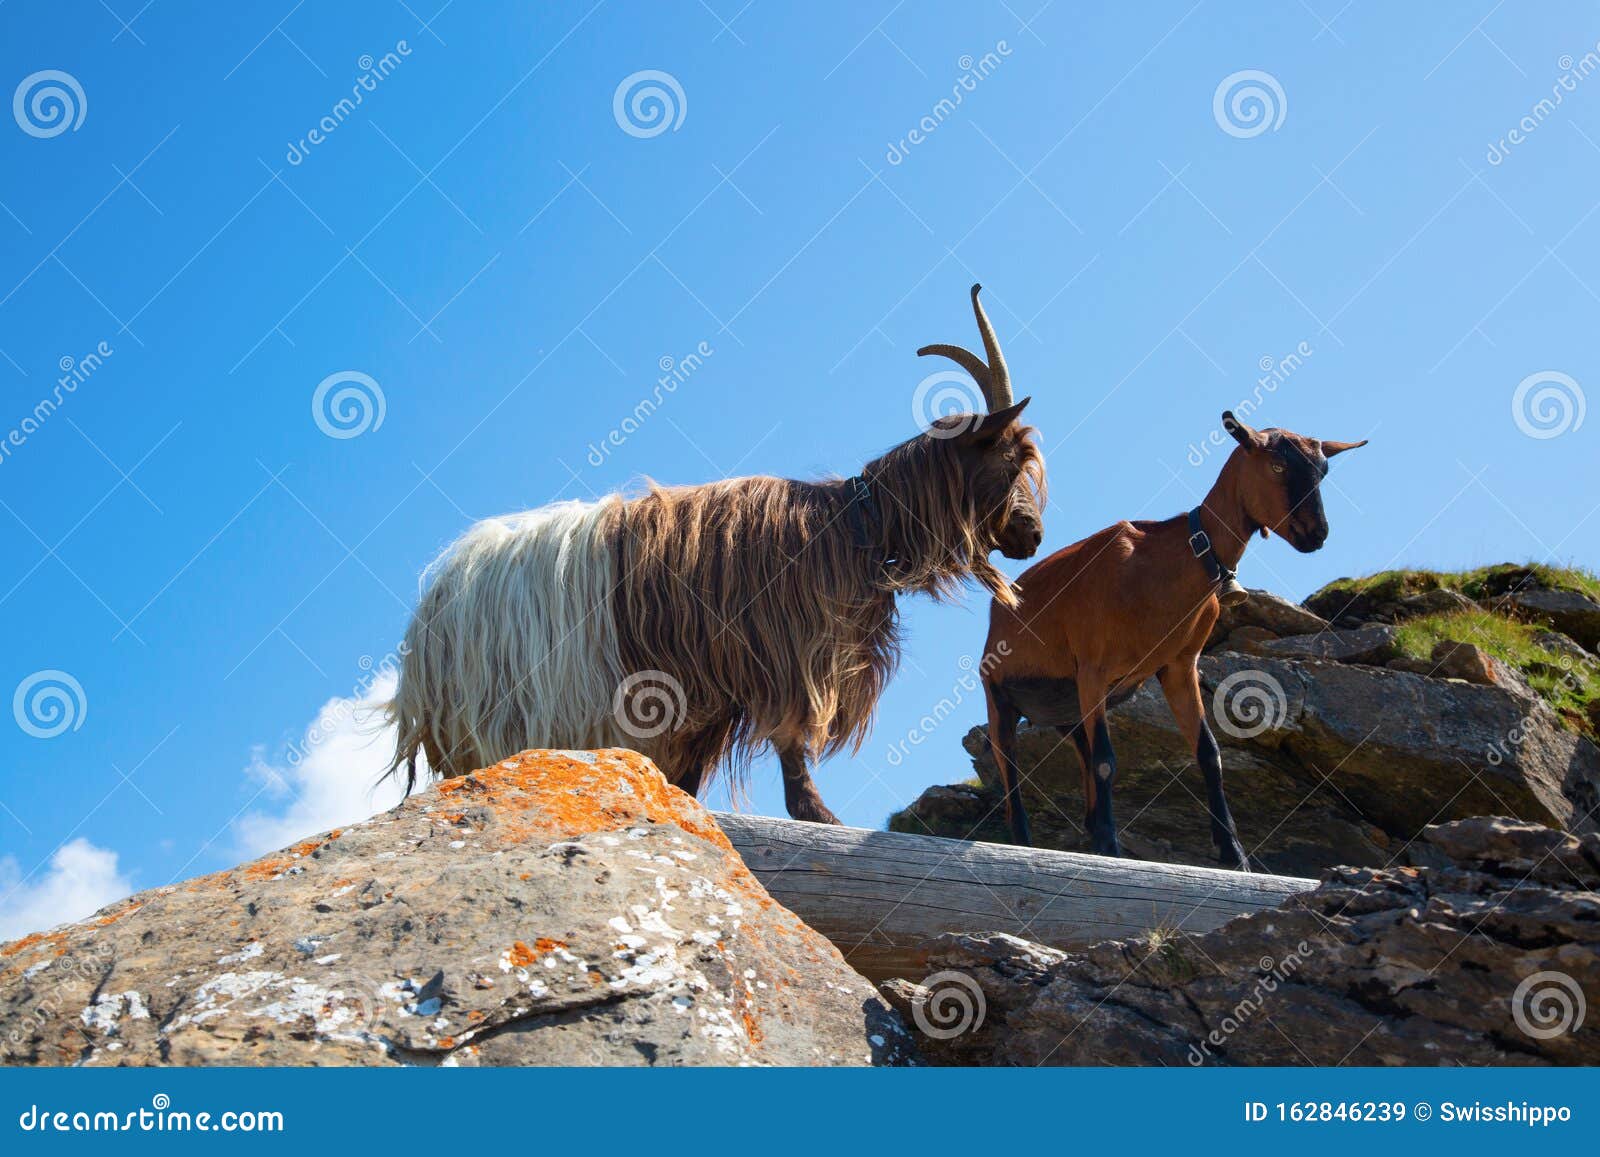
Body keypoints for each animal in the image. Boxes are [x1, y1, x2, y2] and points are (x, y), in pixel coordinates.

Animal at [387, 285, 1046, 825]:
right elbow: (793, 751)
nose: (1033, 534)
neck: (852, 526)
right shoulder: (787, 657)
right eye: (1009, 461)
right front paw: (822, 817)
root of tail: (426, 621)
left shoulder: (709, 705)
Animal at [980, 411, 1365, 869]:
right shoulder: (1093, 667)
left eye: (1322, 471)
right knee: (1010, 769)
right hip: (1000, 692)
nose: (1315, 533)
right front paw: (1111, 851)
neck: (1170, 559)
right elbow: (1108, 761)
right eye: (1276, 465)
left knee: (1082, 759)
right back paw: (1026, 841)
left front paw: (1235, 854)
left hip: (1068, 710)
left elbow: (1209, 753)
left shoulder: (1178, 665)